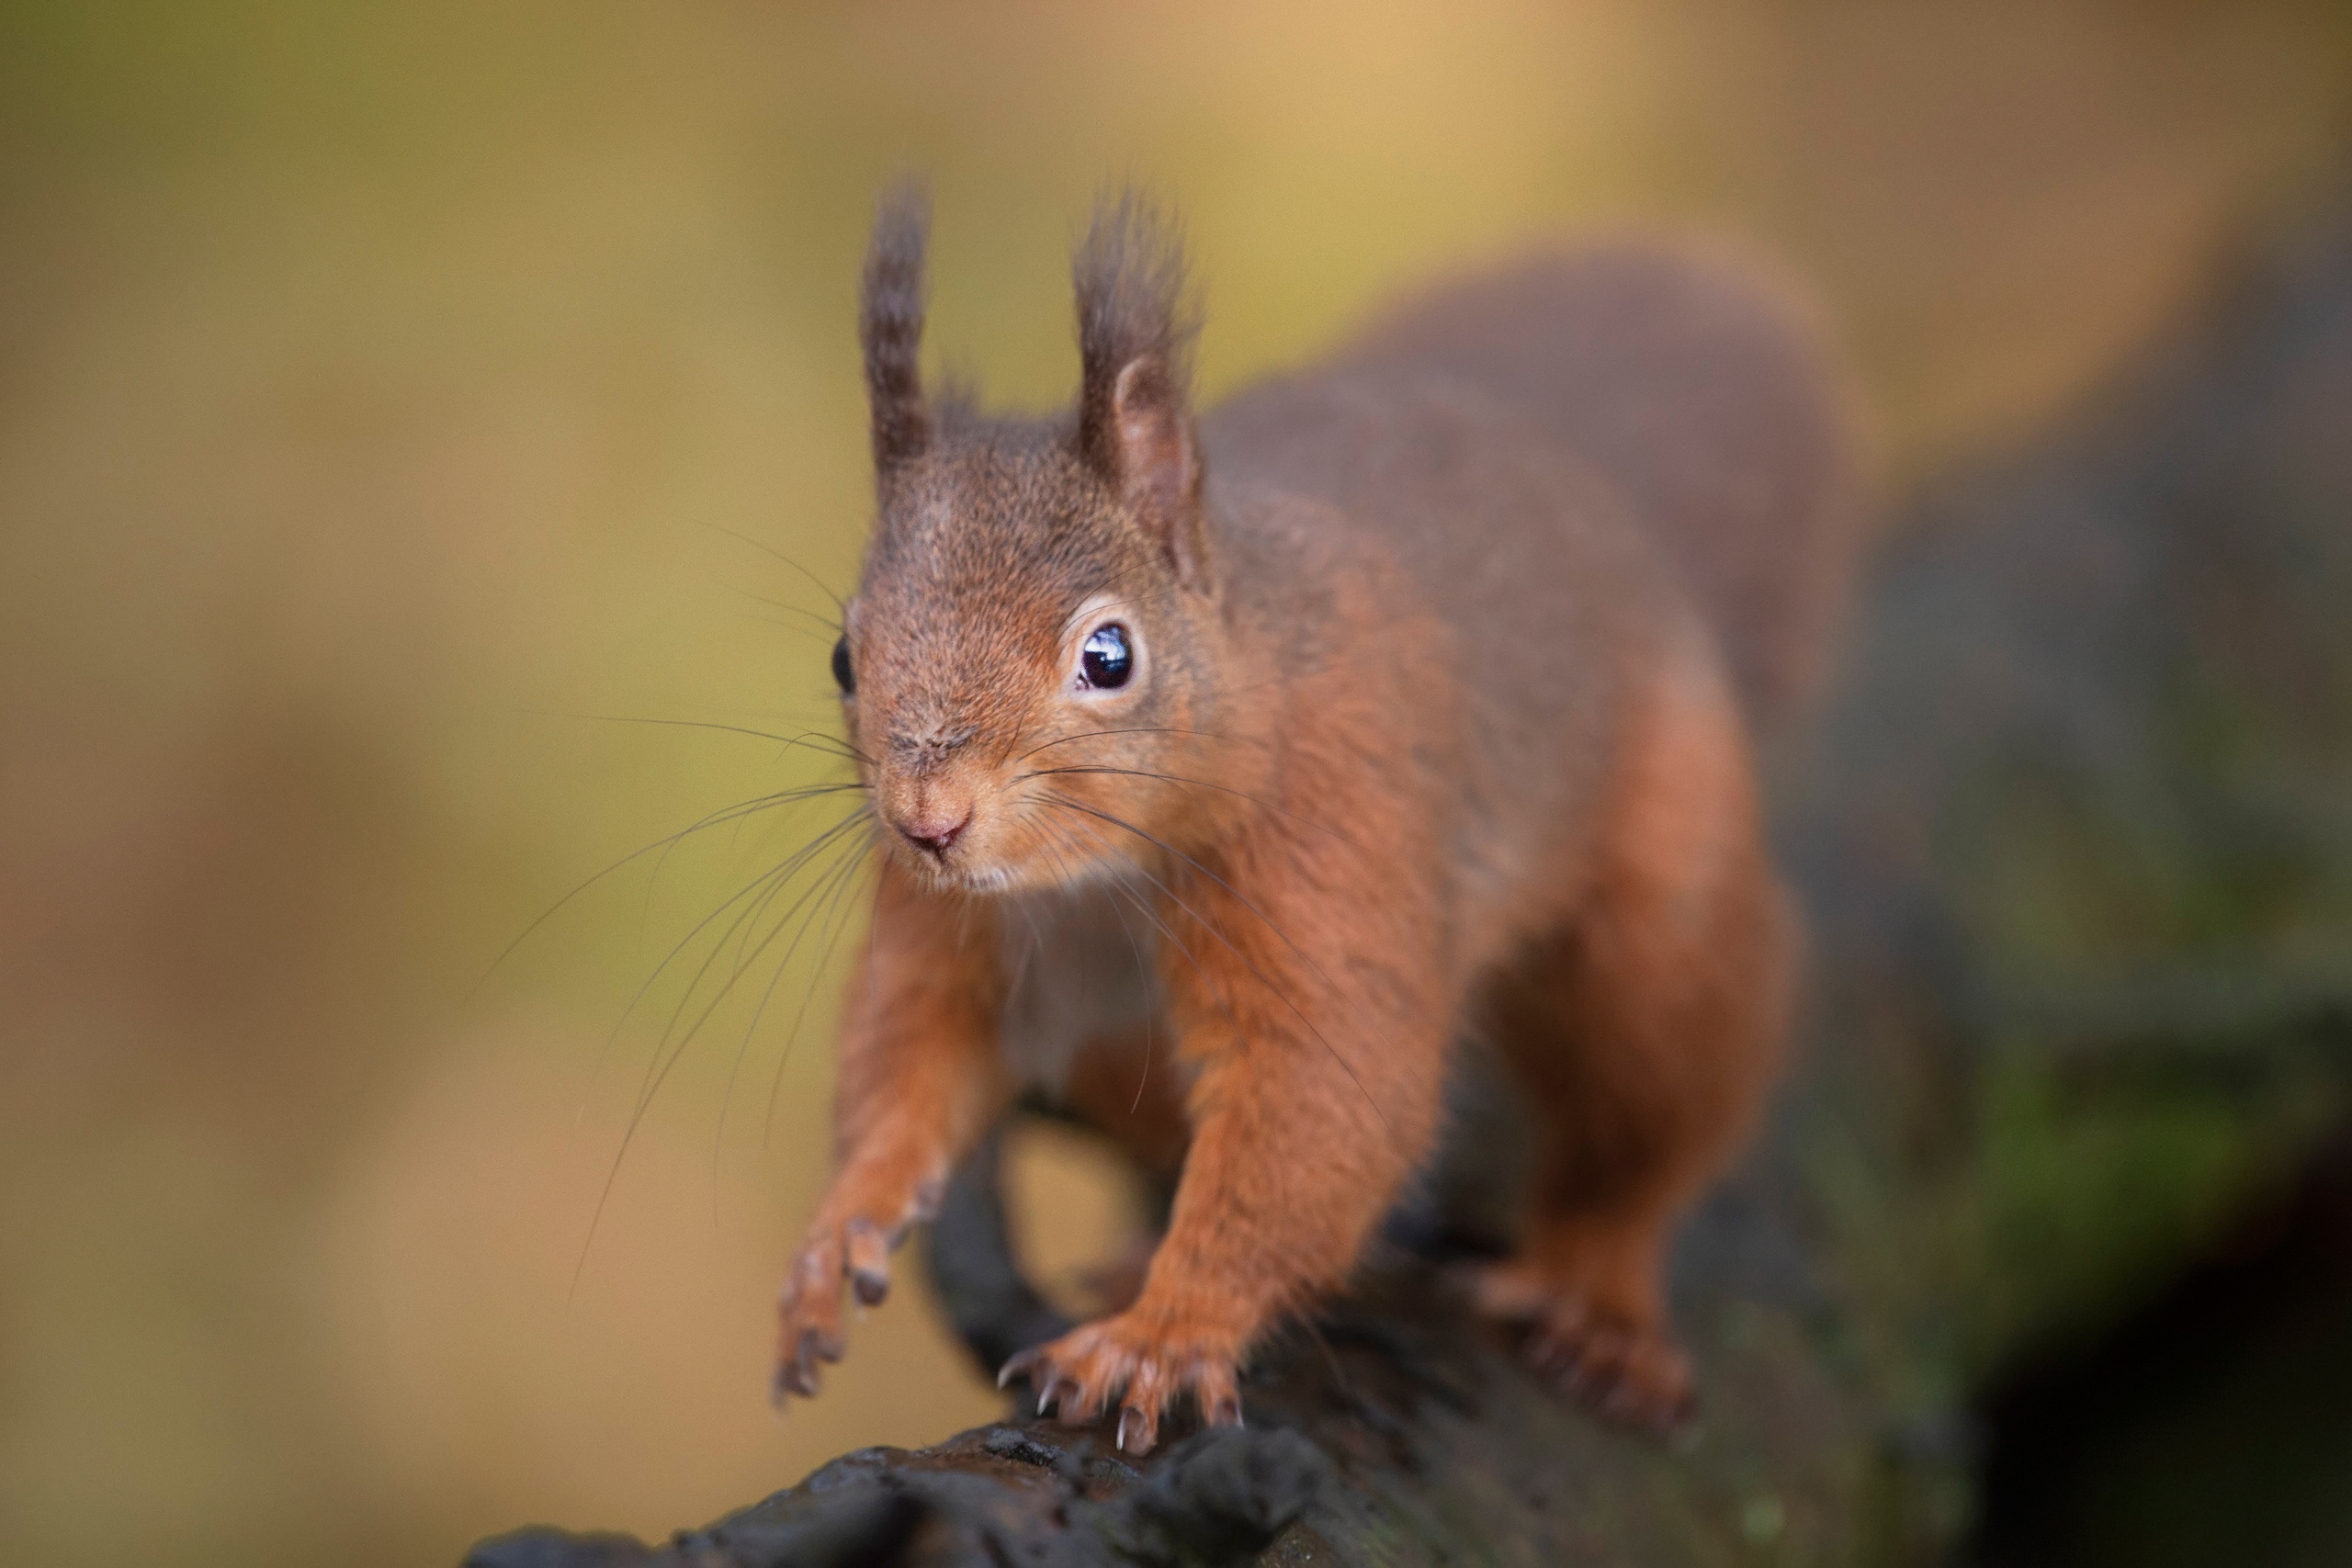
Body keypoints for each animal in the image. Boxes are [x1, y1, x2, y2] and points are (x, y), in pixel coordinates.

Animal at [771, 181, 1861, 1453]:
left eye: (1108, 655)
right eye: (843, 658)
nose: (928, 821)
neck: (1094, 882)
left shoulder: (1327, 839)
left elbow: (1322, 1100)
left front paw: (1161, 1338)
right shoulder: (950, 928)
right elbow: (909, 1056)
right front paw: (840, 1236)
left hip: (1660, 917)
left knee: (1651, 1107)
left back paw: (1597, 1295)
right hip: (1115, 1058)